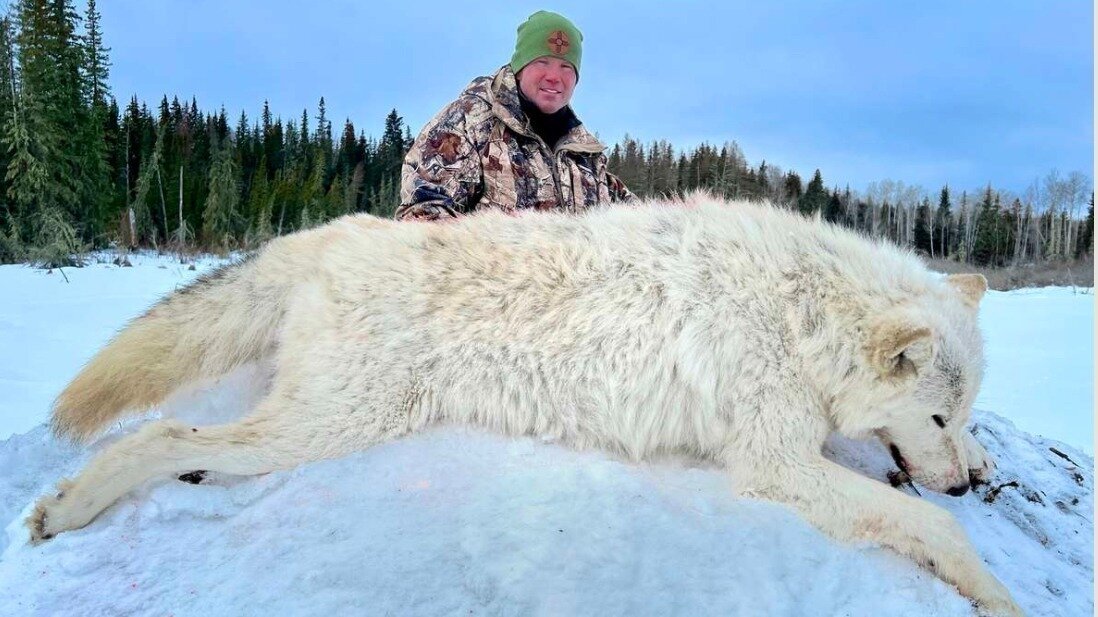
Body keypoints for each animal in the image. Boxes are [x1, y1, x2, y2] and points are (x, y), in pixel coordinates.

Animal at [28, 194, 1020, 615]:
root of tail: (315, 239)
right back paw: (65, 506)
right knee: (165, 432)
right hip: (329, 423)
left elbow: (913, 506)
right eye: (938, 414)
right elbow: (931, 531)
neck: (799, 311)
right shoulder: (771, 467)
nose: (963, 479)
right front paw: (995, 590)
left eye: (964, 412)